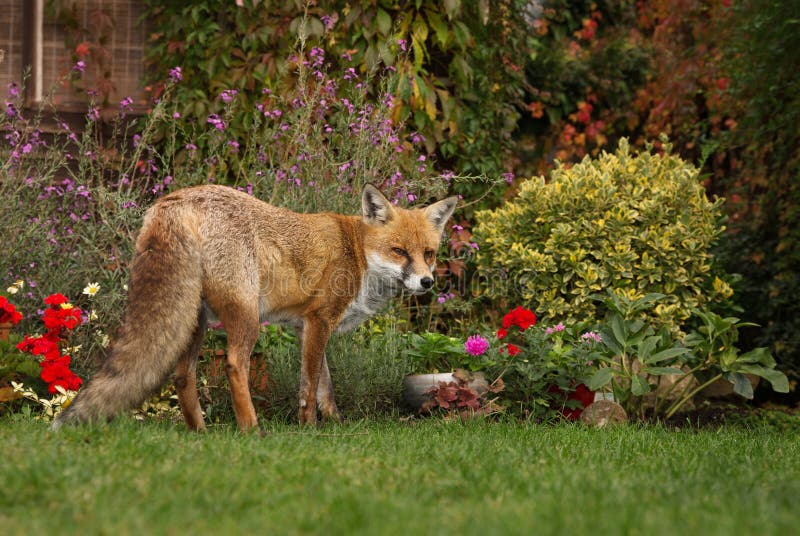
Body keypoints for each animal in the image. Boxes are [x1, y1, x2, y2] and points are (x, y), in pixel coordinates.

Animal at [54, 183, 457, 431]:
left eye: (429, 254)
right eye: (399, 251)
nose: (427, 283)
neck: (357, 253)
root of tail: (177, 200)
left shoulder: (306, 325)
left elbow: (325, 387)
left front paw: (336, 424)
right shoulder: (320, 321)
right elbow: (309, 387)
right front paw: (310, 429)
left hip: (193, 319)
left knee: (183, 375)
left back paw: (200, 433)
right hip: (244, 315)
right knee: (235, 365)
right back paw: (251, 429)